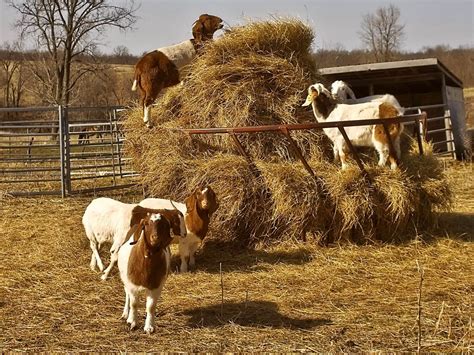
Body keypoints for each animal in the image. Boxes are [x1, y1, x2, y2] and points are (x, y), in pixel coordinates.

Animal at [118, 207, 174, 336]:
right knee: (127, 295)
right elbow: (134, 304)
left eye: (163, 225)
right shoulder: (132, 284)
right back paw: (126, 315)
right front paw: (132, 323)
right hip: (125, 280)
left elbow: (151, 307)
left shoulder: (156, 286)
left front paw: (149, 327)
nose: (155, 238)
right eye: (147, 224)